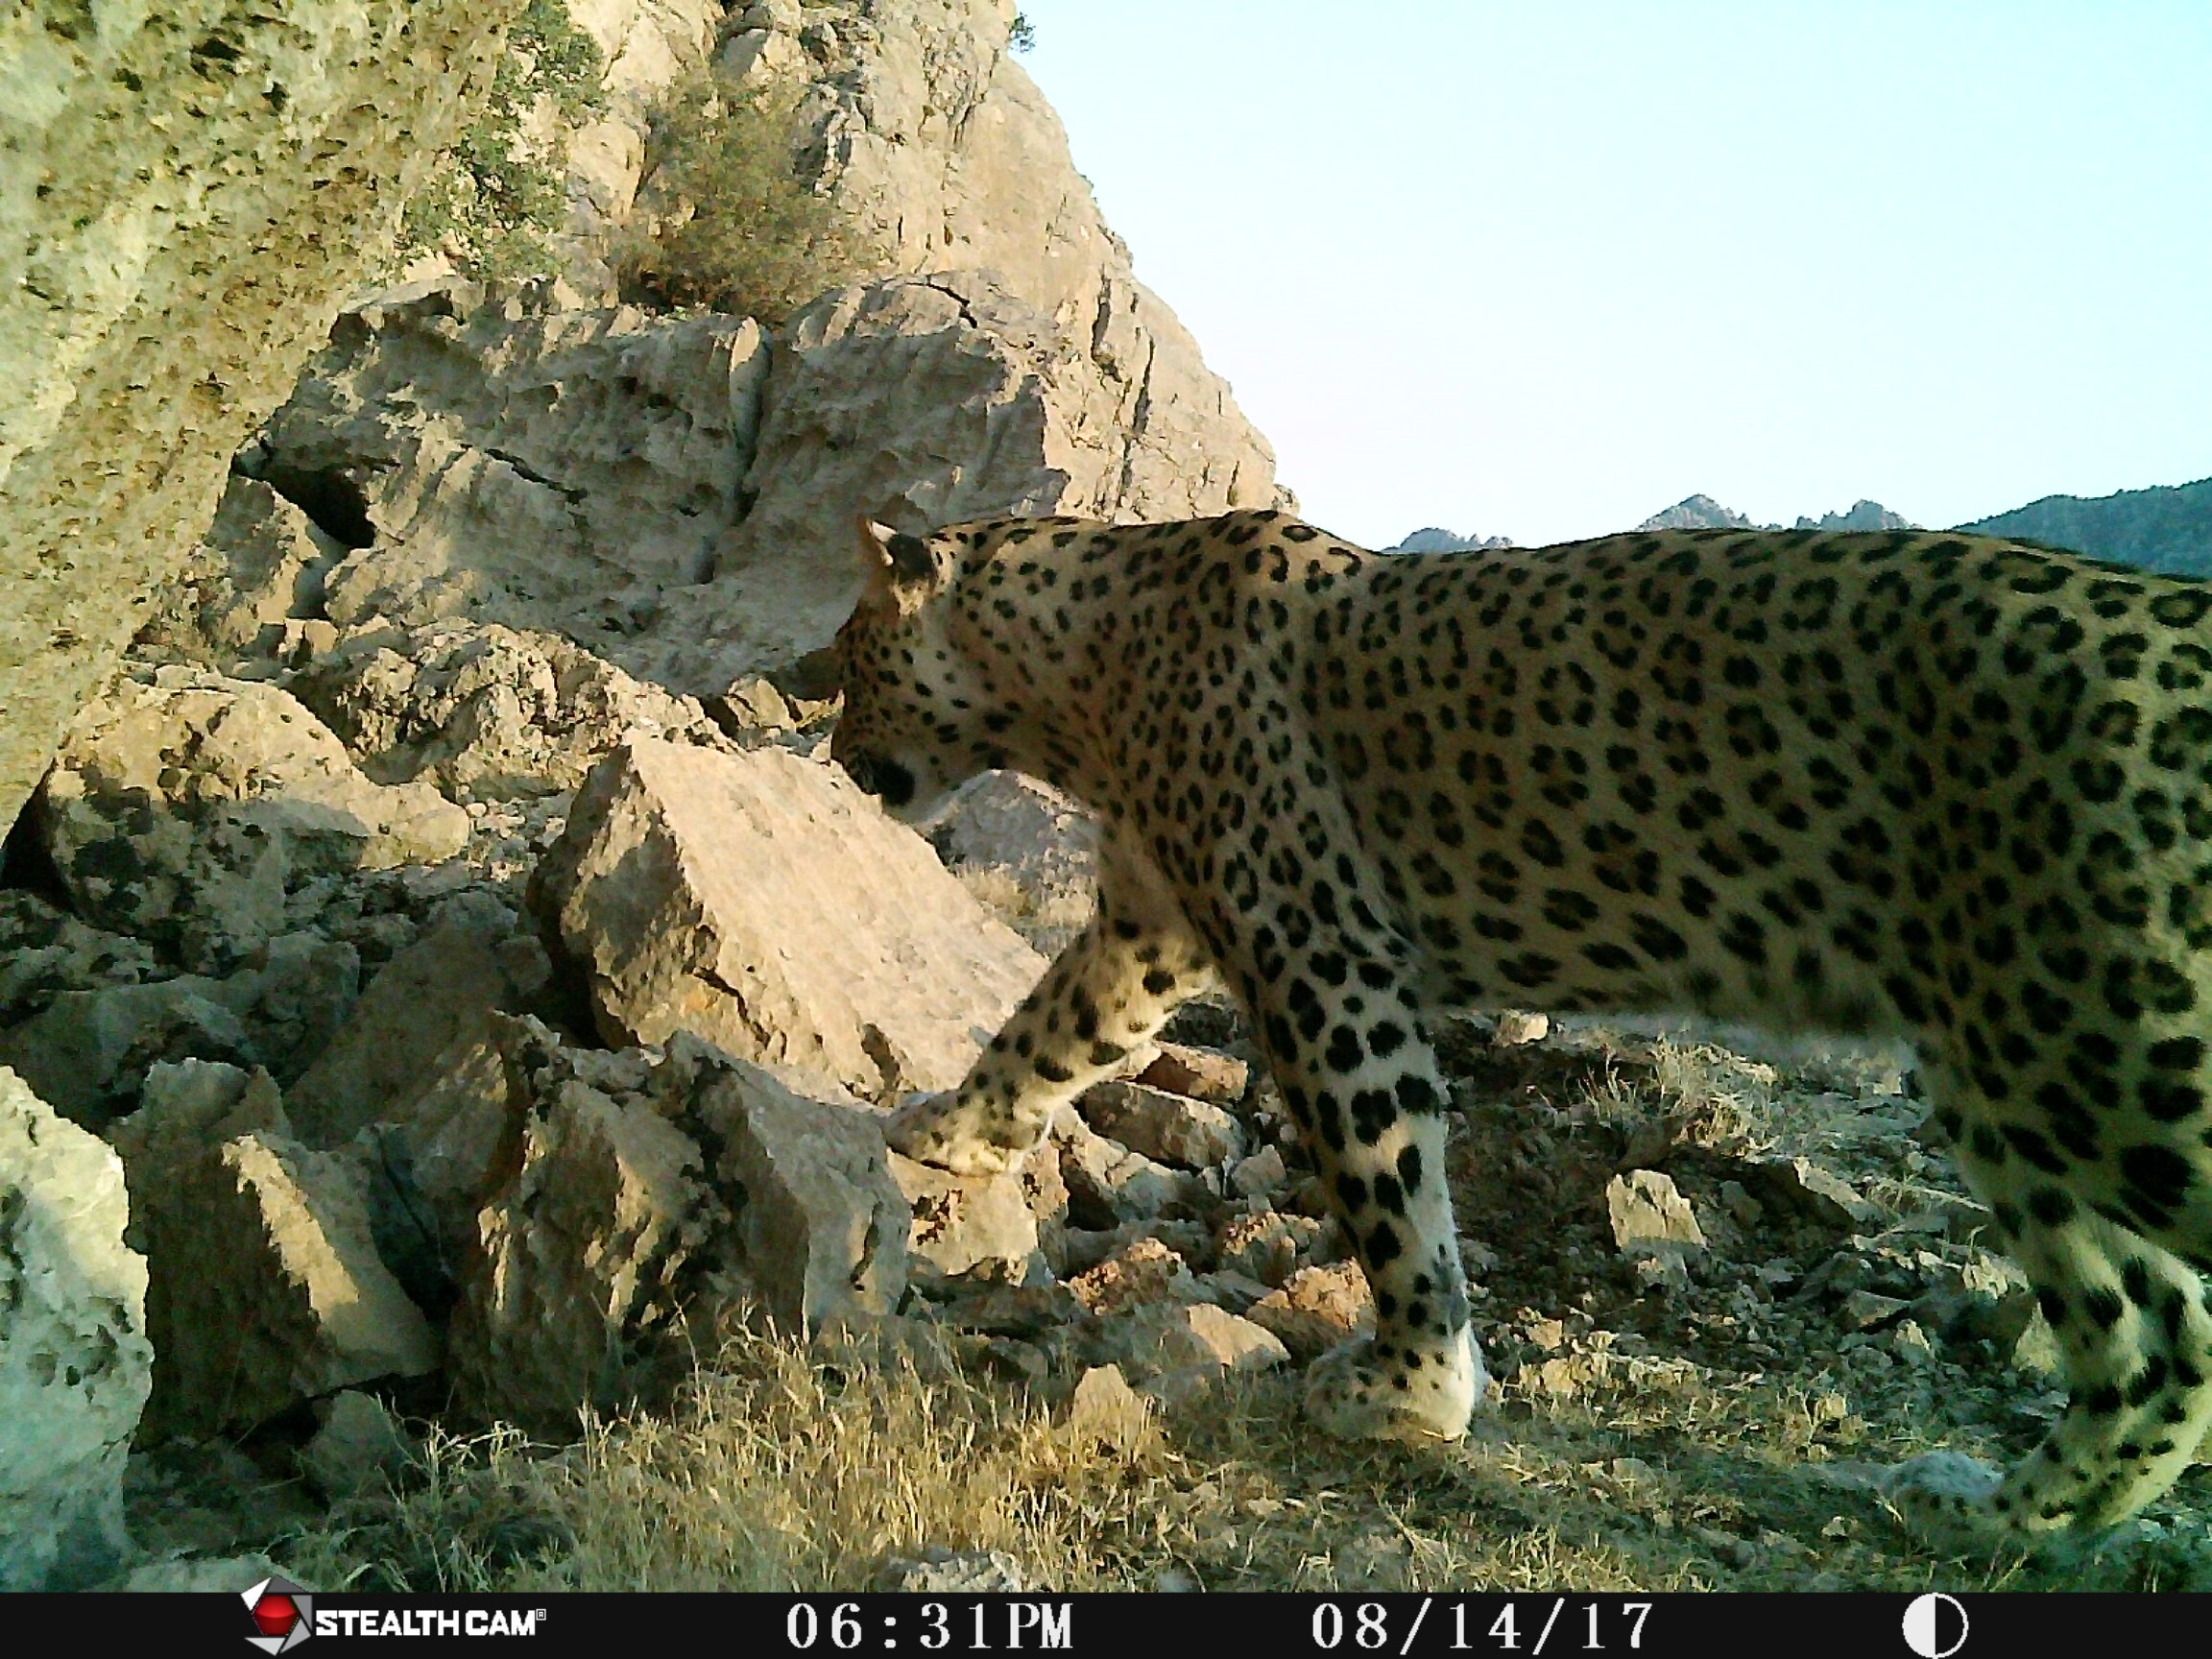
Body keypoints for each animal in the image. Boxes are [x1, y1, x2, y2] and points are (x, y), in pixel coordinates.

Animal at [829, 506, 2212, 1548]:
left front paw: (1415, 1393)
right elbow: (1047, 1034)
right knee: (2152, 1331)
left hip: (2108, 1044)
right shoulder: (1148, 927)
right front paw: (948, 1130)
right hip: (2015, 1073)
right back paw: (1995, 1511)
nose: (837, 758)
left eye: (853, 657)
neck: (1078, 678)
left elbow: (1390, 1192)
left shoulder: (1326, 958)